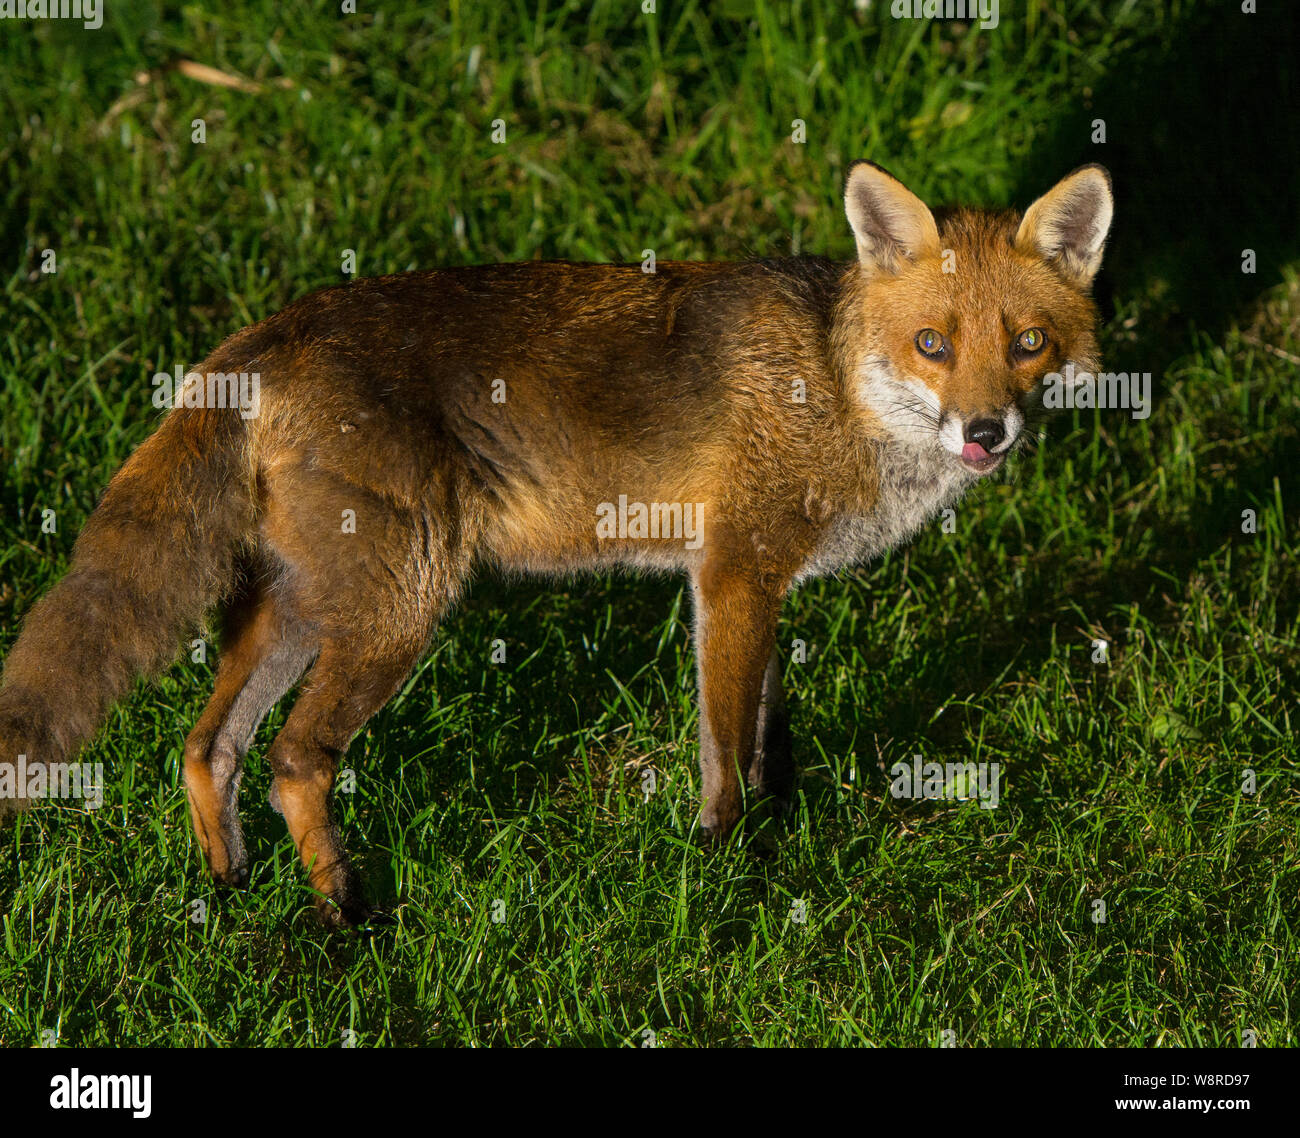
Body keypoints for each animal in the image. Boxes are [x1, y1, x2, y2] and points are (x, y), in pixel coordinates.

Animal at [0, 161, 1113, 928]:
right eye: (932, 345)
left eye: (1027, 345)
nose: (985, 432)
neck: (837, 388)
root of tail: (266, 334)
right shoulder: (732, 569)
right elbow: (722, 751)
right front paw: (723, 871)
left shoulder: (758, 581)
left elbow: (769, 732)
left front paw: (781, 830)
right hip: (400, 605)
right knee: (295, 759)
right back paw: (346, 918)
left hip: (305, 604)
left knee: (208, 745)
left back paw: (229, 889)